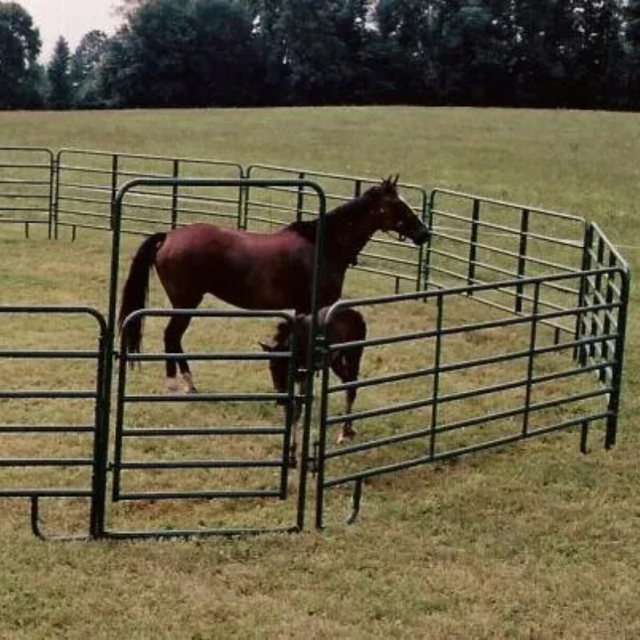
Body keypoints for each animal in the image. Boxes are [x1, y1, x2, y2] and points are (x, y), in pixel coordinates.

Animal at [117, 175, 428, 392]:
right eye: (398, 204)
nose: (424, 233)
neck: (323, 246)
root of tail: (168, 237)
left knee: (175, 338)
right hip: (186, 302)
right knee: (172, 336)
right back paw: (177, 384)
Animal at [260, 306, 366, 465]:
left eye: (287, 368)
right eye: (271, 368)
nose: (279, 400)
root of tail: (356, 313)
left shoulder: (304, 376)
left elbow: (298, 409)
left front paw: (293, 453)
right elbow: (292, 411)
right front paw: (291, 451)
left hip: (354, 354)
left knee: (352, 388)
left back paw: (345, 433)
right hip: (336, 361)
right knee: (348, 384)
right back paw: (348, 431)